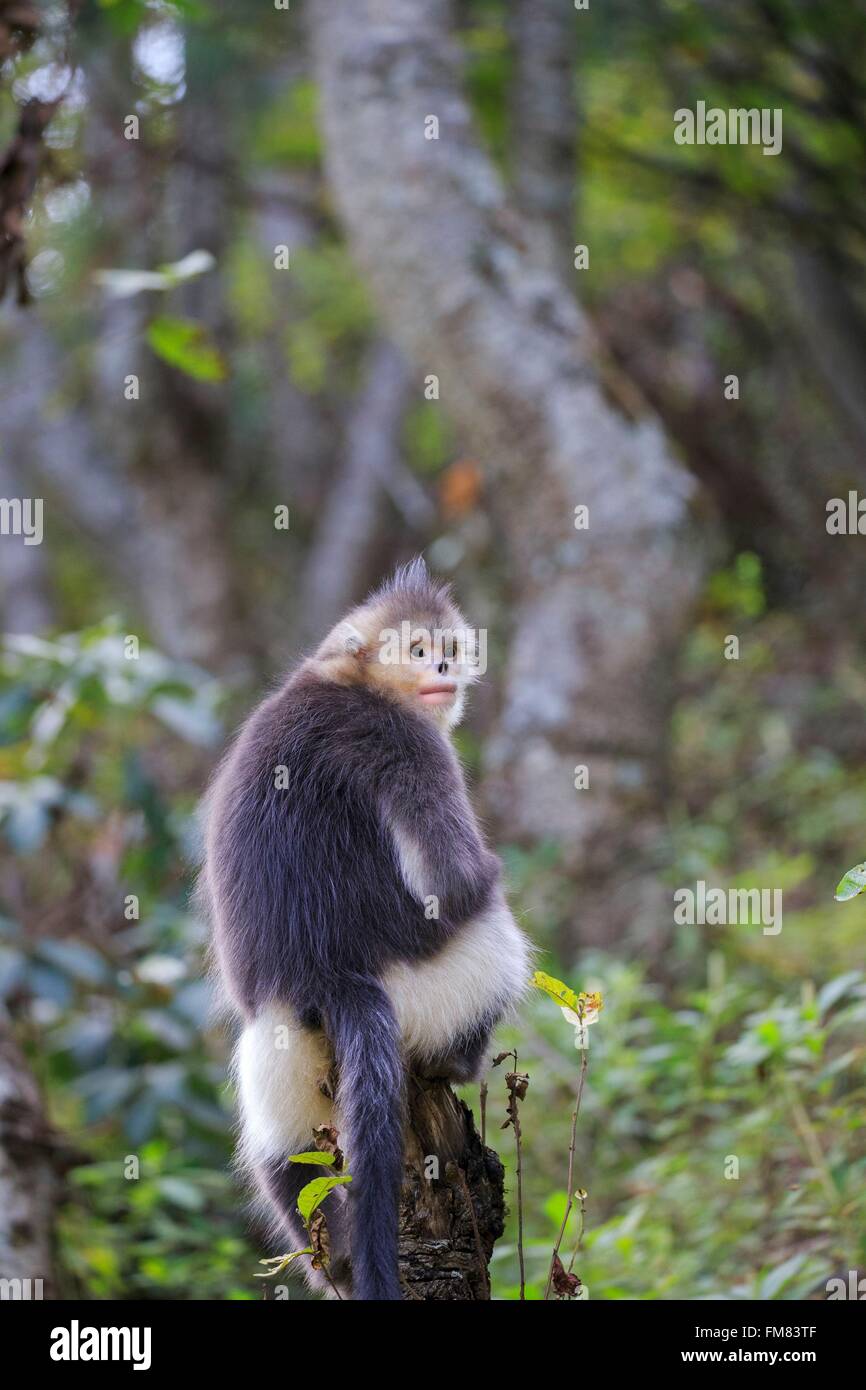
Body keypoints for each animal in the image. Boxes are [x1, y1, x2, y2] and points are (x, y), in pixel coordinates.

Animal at [199, 558, 532, 1300]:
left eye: (449, 647)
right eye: (417, 649)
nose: (444, 666)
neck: (347, 680)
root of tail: (332, 979)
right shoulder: (407, 746)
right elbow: (457, 883)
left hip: (278, 1040)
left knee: (281, 1151)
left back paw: (342, 1264)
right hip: (441, 983)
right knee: (496, 939)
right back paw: (456, 1060)